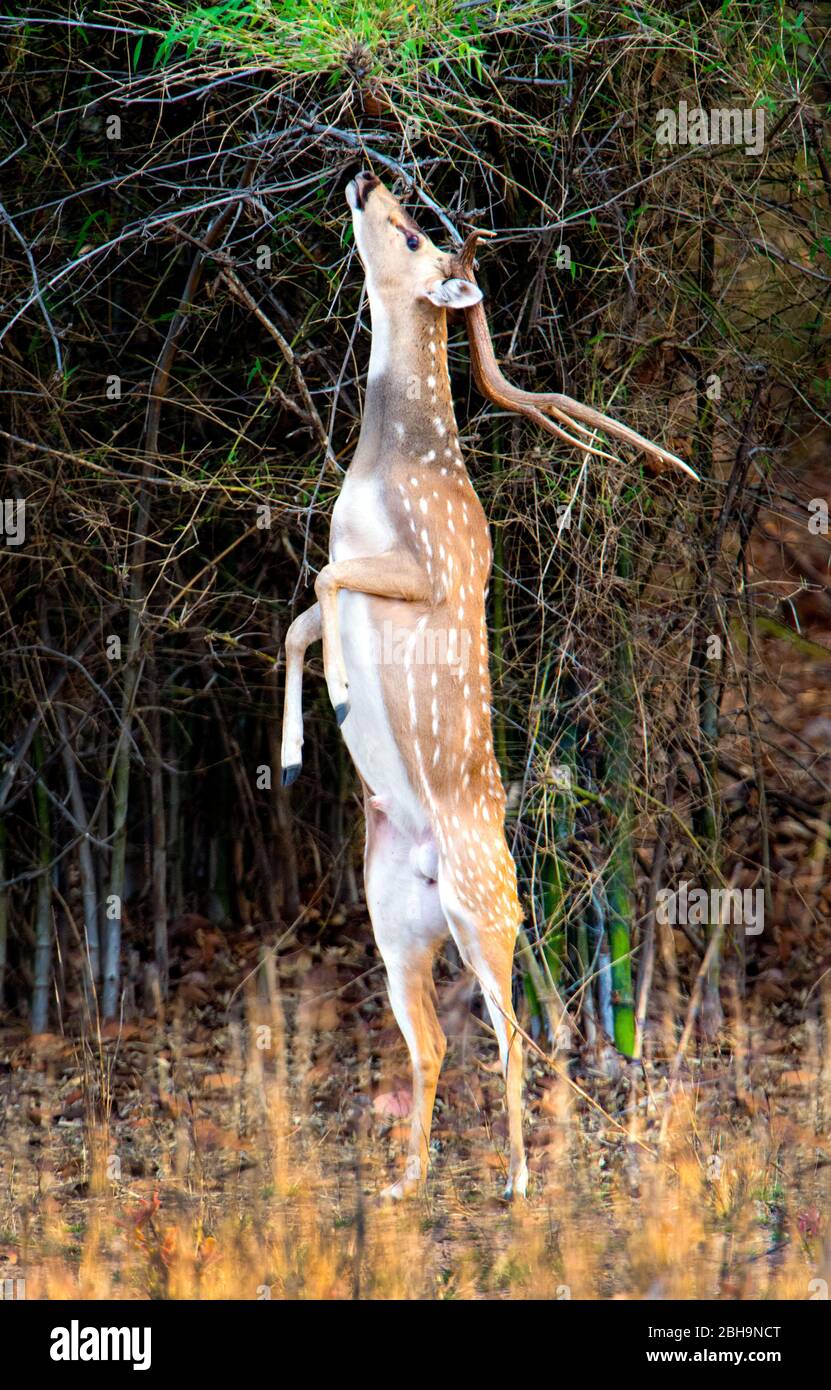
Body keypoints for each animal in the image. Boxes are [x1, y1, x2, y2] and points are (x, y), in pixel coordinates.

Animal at [280, 171, 696, 1200]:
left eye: (411, 234)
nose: (368, 176)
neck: (387, 470)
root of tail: (445, 871)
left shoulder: (433, 569)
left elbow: (323, 586)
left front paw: (343, 695)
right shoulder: (352, 565)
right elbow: (299, 615)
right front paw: (295, 755)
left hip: (486, 905)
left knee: (515, 1034)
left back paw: (514, 1181)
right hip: (392, 917)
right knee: (431, 1039)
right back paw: (405, 1180)